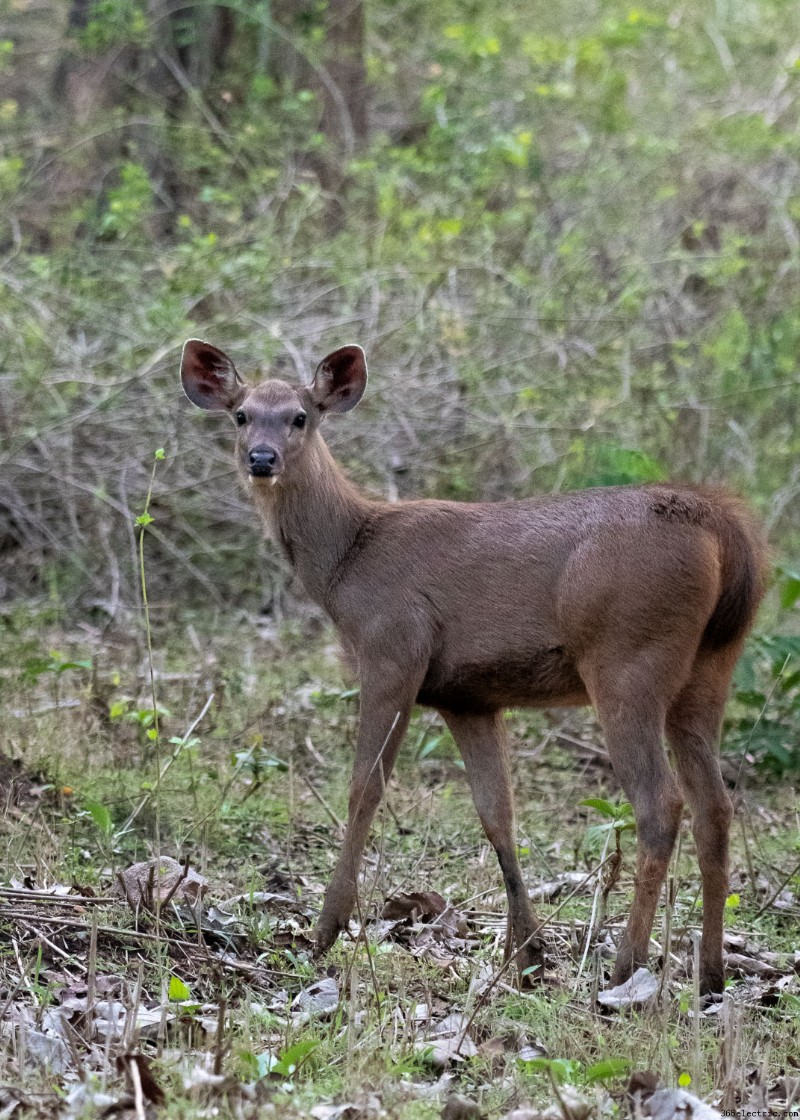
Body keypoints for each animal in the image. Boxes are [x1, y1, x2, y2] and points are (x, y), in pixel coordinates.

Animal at [180, 336, 766, 994]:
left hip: (628, 658)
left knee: (661, 804)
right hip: (711, 668)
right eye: (241, 415)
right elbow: (497, 814)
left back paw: (625, 967)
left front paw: (325, 930)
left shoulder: (393, 649)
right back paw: (711, 974)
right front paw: (529, 953)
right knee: (716, 806)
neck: (347, 566)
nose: (262, 458)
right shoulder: (469, 698)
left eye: (301, 417)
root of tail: (727, 533)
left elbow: (364, 785)